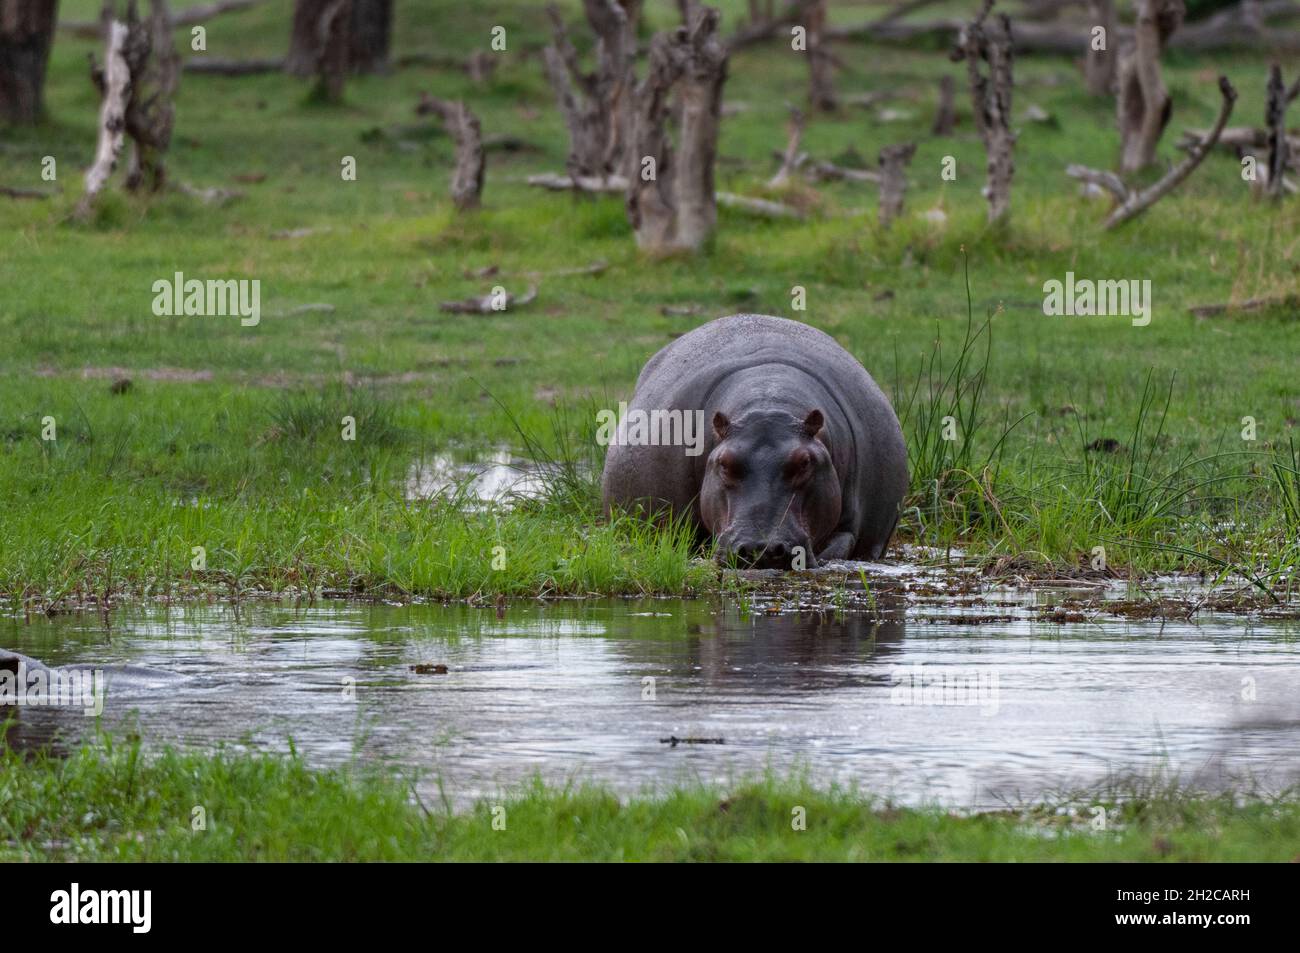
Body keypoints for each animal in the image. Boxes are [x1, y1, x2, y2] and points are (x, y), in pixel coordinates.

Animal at [601, 314, 908, 568]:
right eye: (724, 463)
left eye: (805, 462)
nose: (763, 549)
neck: (768, 402)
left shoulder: (848, 527)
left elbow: (840, 543)